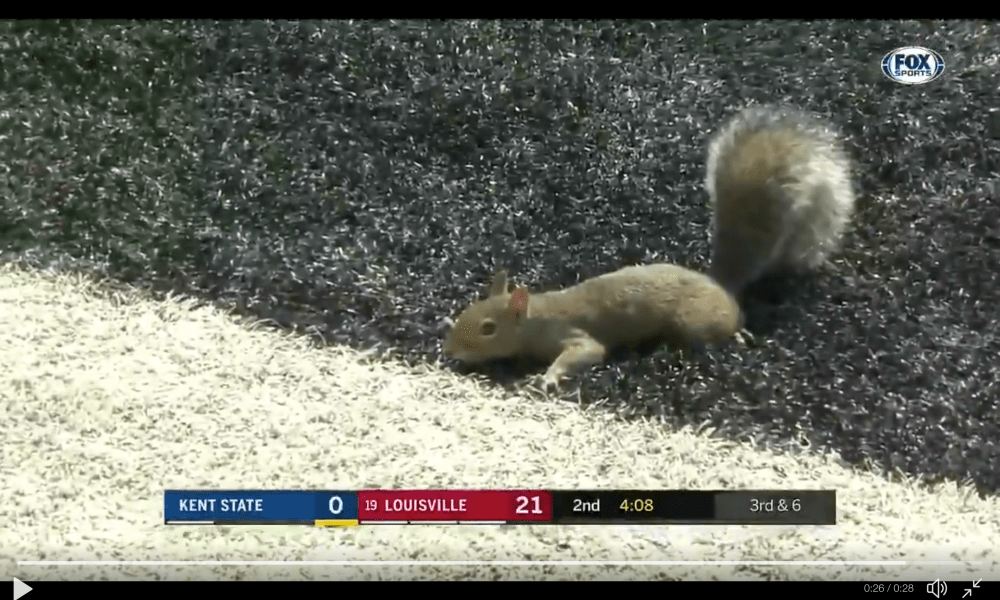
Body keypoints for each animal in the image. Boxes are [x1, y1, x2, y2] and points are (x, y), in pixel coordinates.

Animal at [441, 265, 744, 391]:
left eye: (488, 329)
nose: (450, 351)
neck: (536, 317)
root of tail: (732, 305)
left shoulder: (570, 331)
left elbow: (589, 350)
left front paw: (548, 377)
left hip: (695, 322)